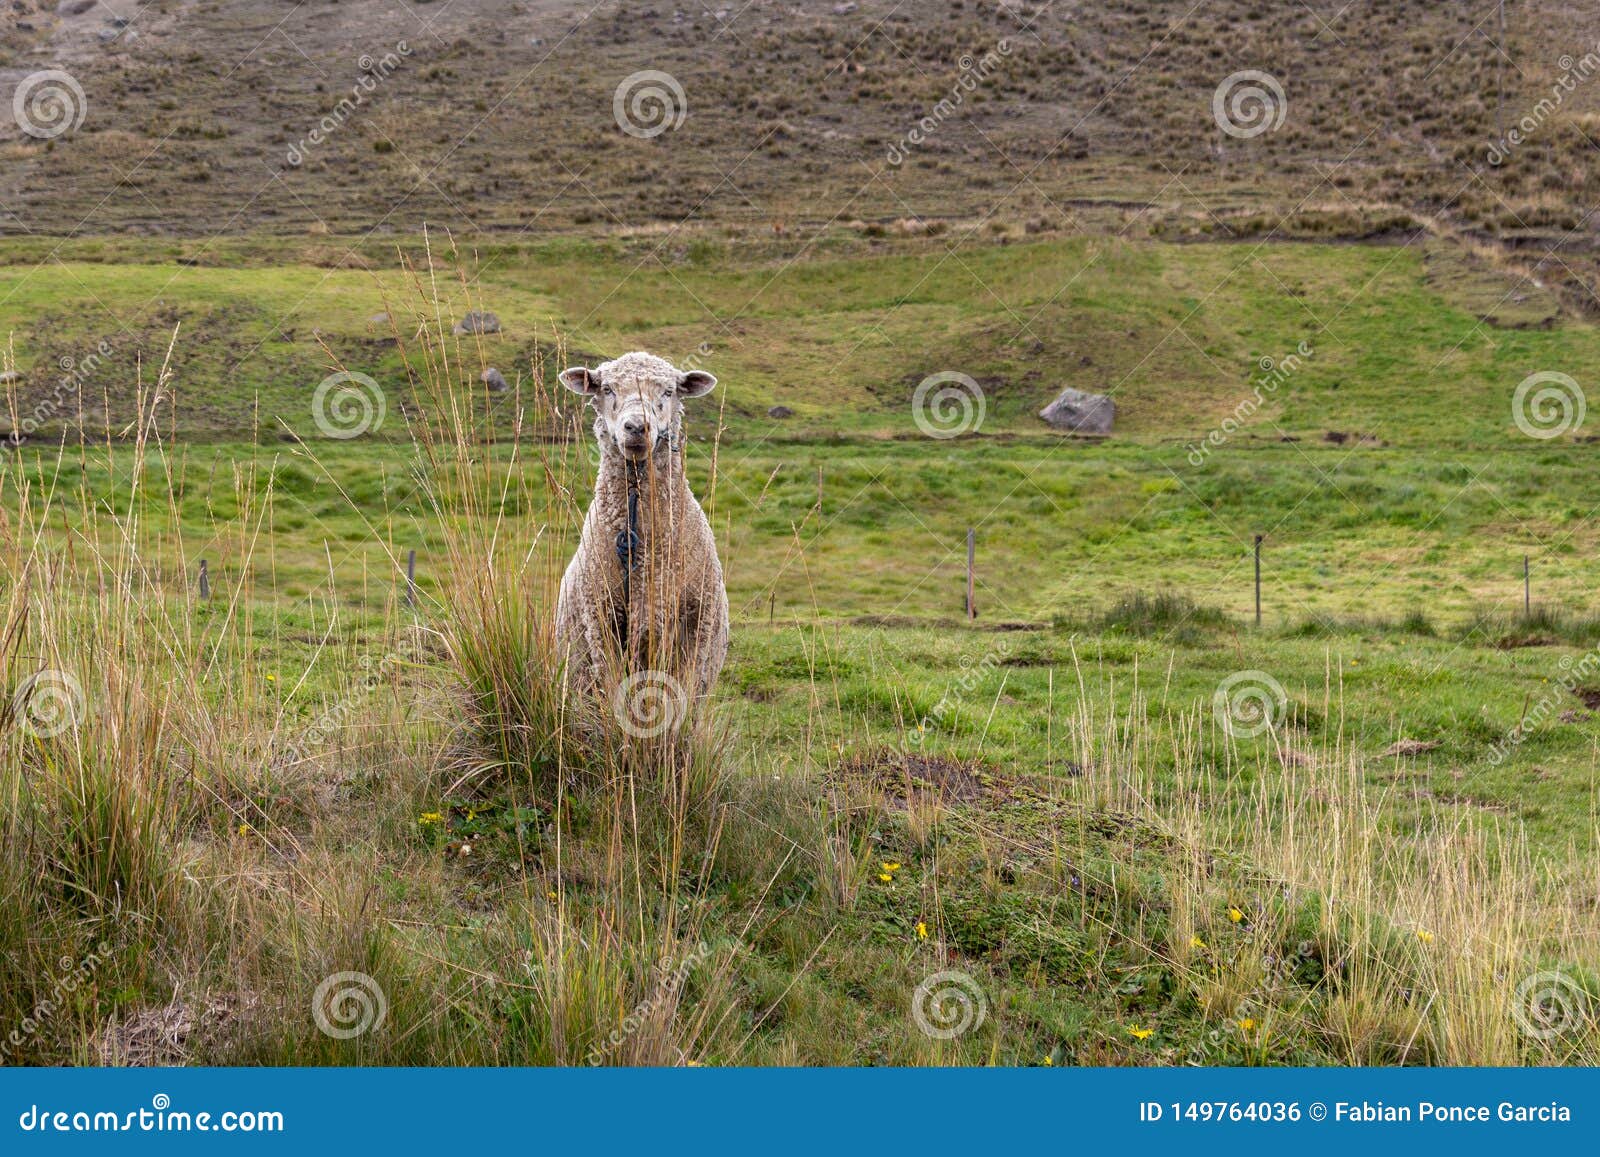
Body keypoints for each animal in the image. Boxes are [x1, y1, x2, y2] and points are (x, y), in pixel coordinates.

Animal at [554, 352, 729, 734]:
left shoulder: (693, 626)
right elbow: (613, 689)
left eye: (668, 390)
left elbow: (681, 697)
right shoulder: (601, 618)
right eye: (606, 388)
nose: (636, 428)